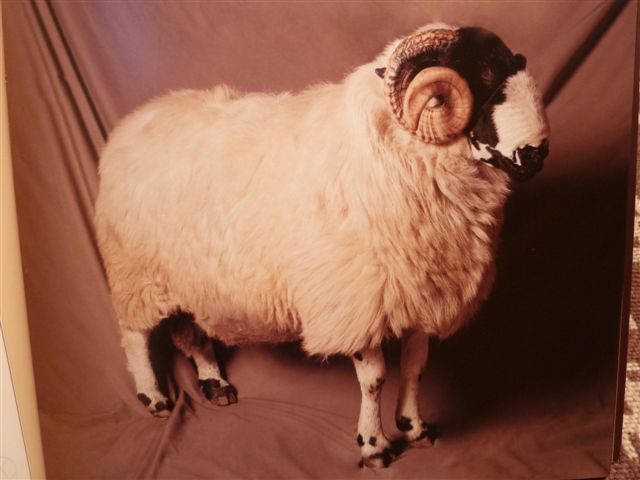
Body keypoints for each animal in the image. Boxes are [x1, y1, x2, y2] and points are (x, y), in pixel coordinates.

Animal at [94, 22, 549, 467]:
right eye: (482, 85)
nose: (537, 153)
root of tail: (134, 121)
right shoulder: (356, 302)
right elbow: (375, 379)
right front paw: (374, 446)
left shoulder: (421, 294)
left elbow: (415, 367)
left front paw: (414, 428)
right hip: (136, 273)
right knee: (135, 335)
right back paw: (155, 399)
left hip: (190, 279)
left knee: (191, 332)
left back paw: (215, 384)